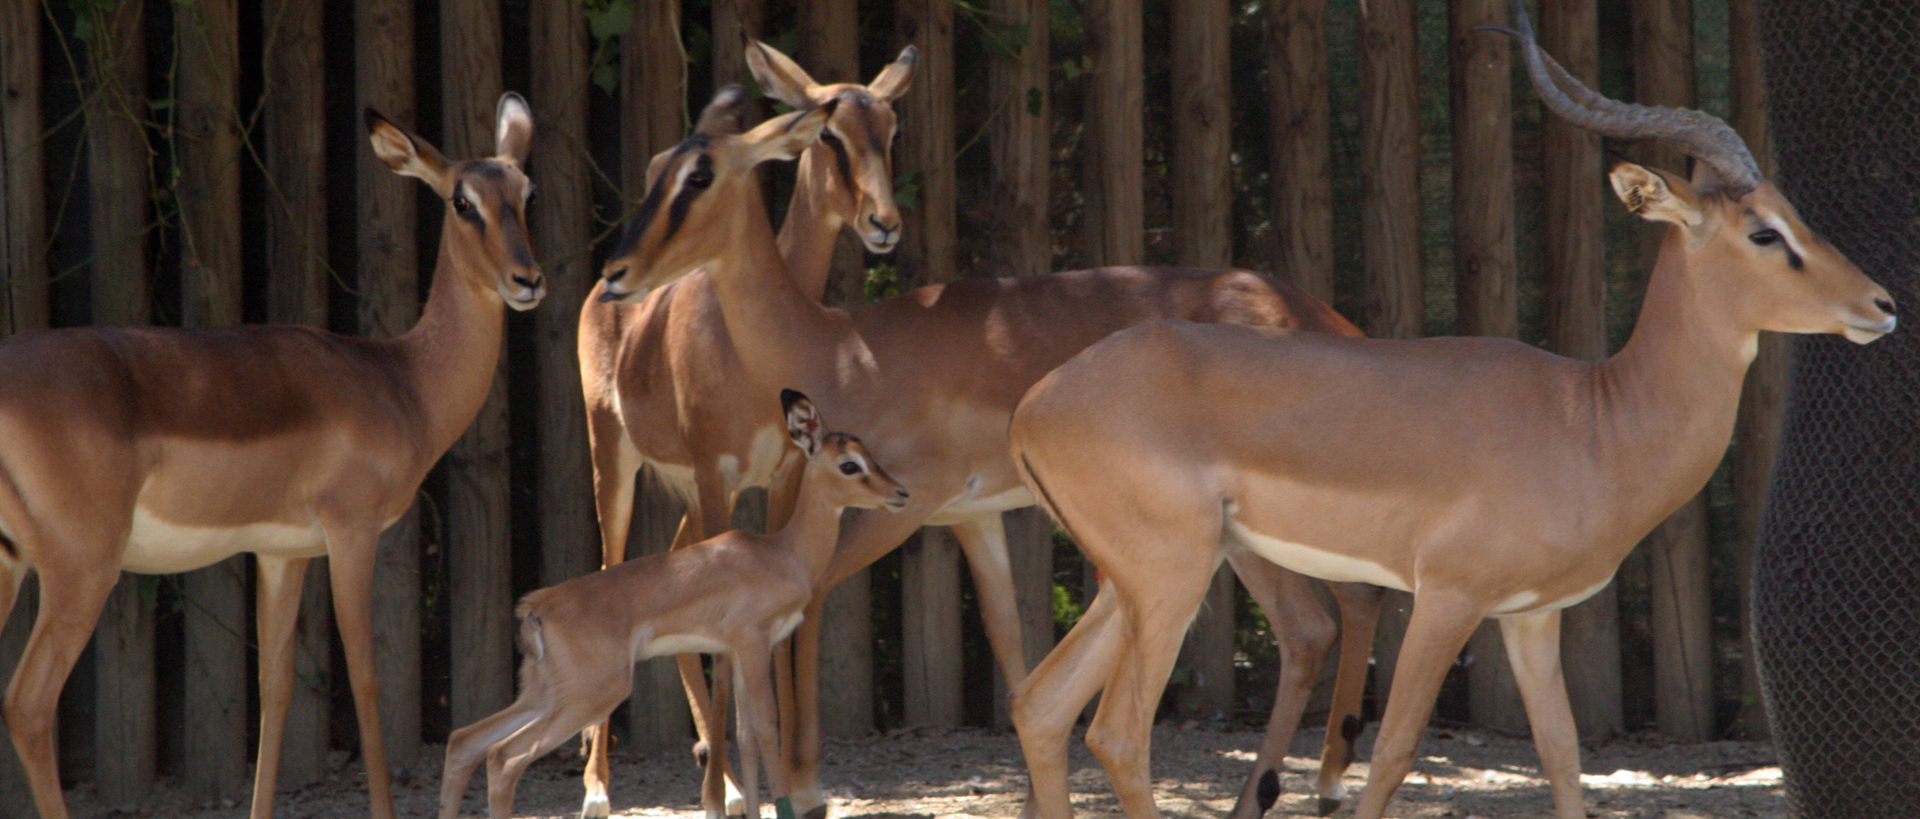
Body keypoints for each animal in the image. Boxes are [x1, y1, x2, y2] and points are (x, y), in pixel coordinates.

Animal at [0, 95, 543, 819]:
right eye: (463, 200)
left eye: (526, 192)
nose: (527, 280)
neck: (400, 380)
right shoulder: (351, 534)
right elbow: (366, 679)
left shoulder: (281, 553)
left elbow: (276, 686)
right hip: (81, 570)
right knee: (29, 705)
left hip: (13, 564)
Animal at [436, 390, 908, 819]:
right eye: (850, 465)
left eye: (870, 453)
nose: (900, 493)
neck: (783, 554)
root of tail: (536, 606)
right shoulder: (754, 642)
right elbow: (767, 728)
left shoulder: (737, 652)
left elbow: (745, 736)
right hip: (591, 694)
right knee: (504, 758)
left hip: (544, 692)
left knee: (464, 741)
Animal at [573, 40, 917, 819]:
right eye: (830, 134)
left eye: (890, 127)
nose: (883, 222)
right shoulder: (716, 472)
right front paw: (729, 792)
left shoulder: (783, 474)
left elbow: (793, 616)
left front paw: (792, 784)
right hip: (617, 463)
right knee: (611, 569)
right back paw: (600, 788)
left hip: (691, 495)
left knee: (674, 570)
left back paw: (721, 771)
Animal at [597, 86, 1384, 819]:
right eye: (655, 166)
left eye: (700, 174)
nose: (615, 272)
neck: (842, 346)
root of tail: (1324, 318)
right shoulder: (968, 516)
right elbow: (1009, 638)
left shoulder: (904, 503)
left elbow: (812, 599)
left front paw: (801, 788)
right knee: (1313, 624)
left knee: (1331, 612)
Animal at [1002, 7, 1898, 819]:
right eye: (1763, 231)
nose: (1881, 305)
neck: (1593, 417)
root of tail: (1037, 402)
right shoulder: (1446, 598)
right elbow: (1395, 751)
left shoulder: (1532, 619)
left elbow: (1562, 755)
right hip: (1171, 577)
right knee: (1117, 732)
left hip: (1137, 583)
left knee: (1041, 705)